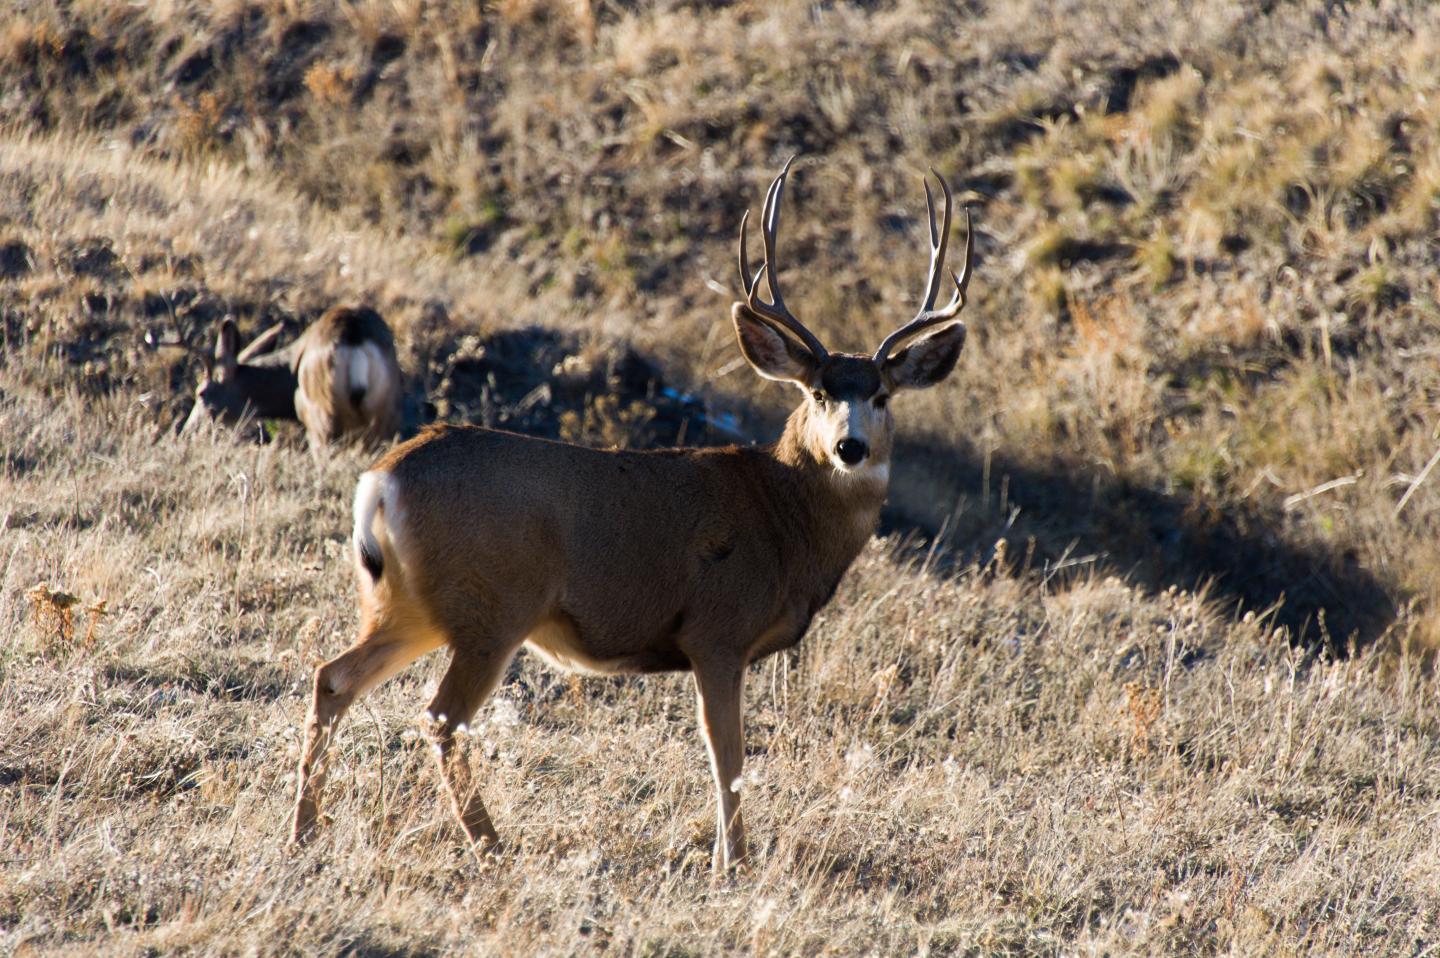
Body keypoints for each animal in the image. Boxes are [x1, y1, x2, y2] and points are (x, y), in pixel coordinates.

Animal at [286, 160, 973, 870]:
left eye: (882, 395)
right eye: (817, 392)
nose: (850, 447)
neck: (783, 520)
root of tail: (381, 480)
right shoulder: (717, 630)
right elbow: (727, 755)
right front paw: (733, 861)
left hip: (406, 601)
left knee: (333, 677)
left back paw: (305, 832)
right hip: (494, 604)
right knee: (440, 716)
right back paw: (490, 844)